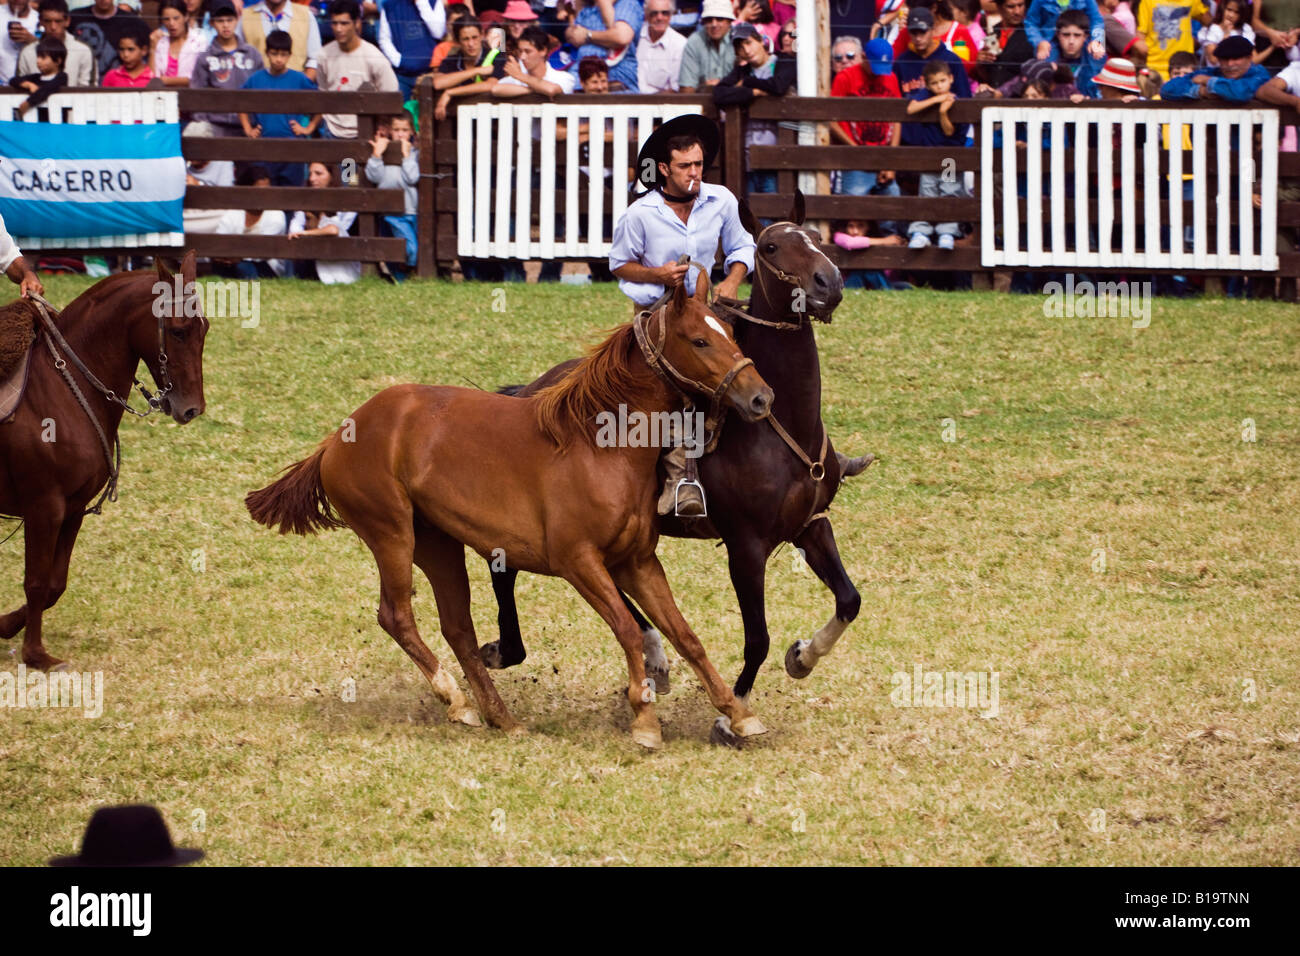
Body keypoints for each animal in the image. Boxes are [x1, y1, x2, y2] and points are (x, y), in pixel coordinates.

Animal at [0, 252, 209, 671]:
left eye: (205, 328)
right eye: (178, 331)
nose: (192, 409)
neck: (59, 389)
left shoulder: (73, 508)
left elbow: (54, 583)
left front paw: (3, 624)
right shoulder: (44, 508)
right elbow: (36, 581)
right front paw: (36, 654)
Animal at [245, 276, 775, 749]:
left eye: (731, 334)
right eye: (700, 340)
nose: (761, 397)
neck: (600, 447)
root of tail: (337, 438)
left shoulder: (637, 562)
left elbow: (685, 635)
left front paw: (737, 714)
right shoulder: (579, 563)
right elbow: (629, 630)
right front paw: (645, 721)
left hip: (438, 543)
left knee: (458, 628)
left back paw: (500, 716)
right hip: (392, 535)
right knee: (396, 616)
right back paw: (456, 701)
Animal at [481, 193, 870, 741]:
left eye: (816, 236)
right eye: (772, 246)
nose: (828, 284)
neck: (778, 423)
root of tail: (530, 390)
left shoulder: (811, 526)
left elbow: (848, 600)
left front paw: (803, 657)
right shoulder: (746, 546)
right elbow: (758, 637)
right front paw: (732, 715)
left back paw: (654, 658)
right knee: (507, 566)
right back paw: (511, 650)